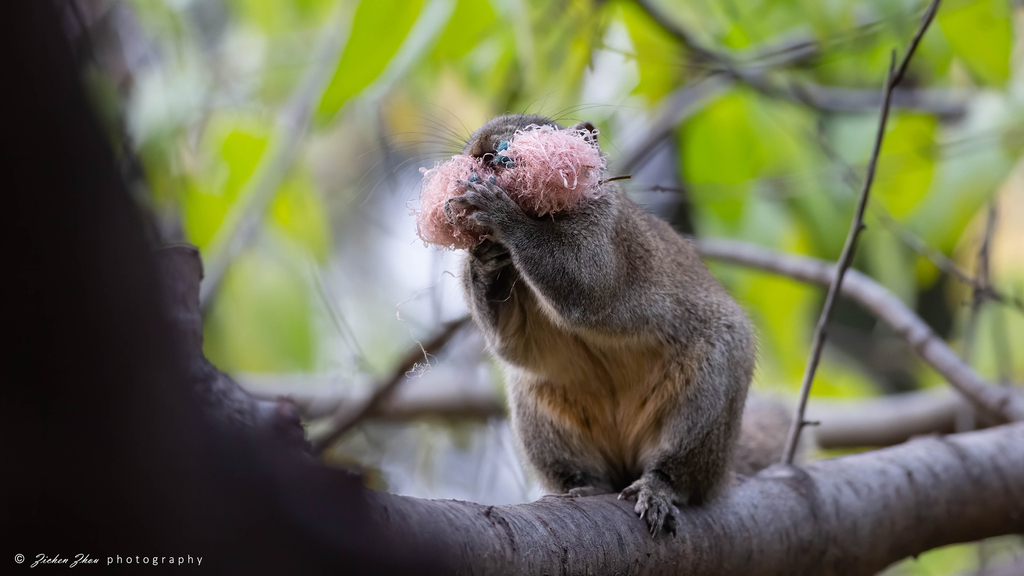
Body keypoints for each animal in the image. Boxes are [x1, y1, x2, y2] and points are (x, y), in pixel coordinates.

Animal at [446, 113, 757, 536]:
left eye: (534, 129)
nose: (478, 149)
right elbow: (510, 341)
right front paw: (483, 256)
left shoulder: (606, 238)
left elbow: (585, 283)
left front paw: (498, 211)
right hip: (543, 416)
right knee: (588, 472)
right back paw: (587, 487)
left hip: (708, 396)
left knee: (681, 470)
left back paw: (657, 487)